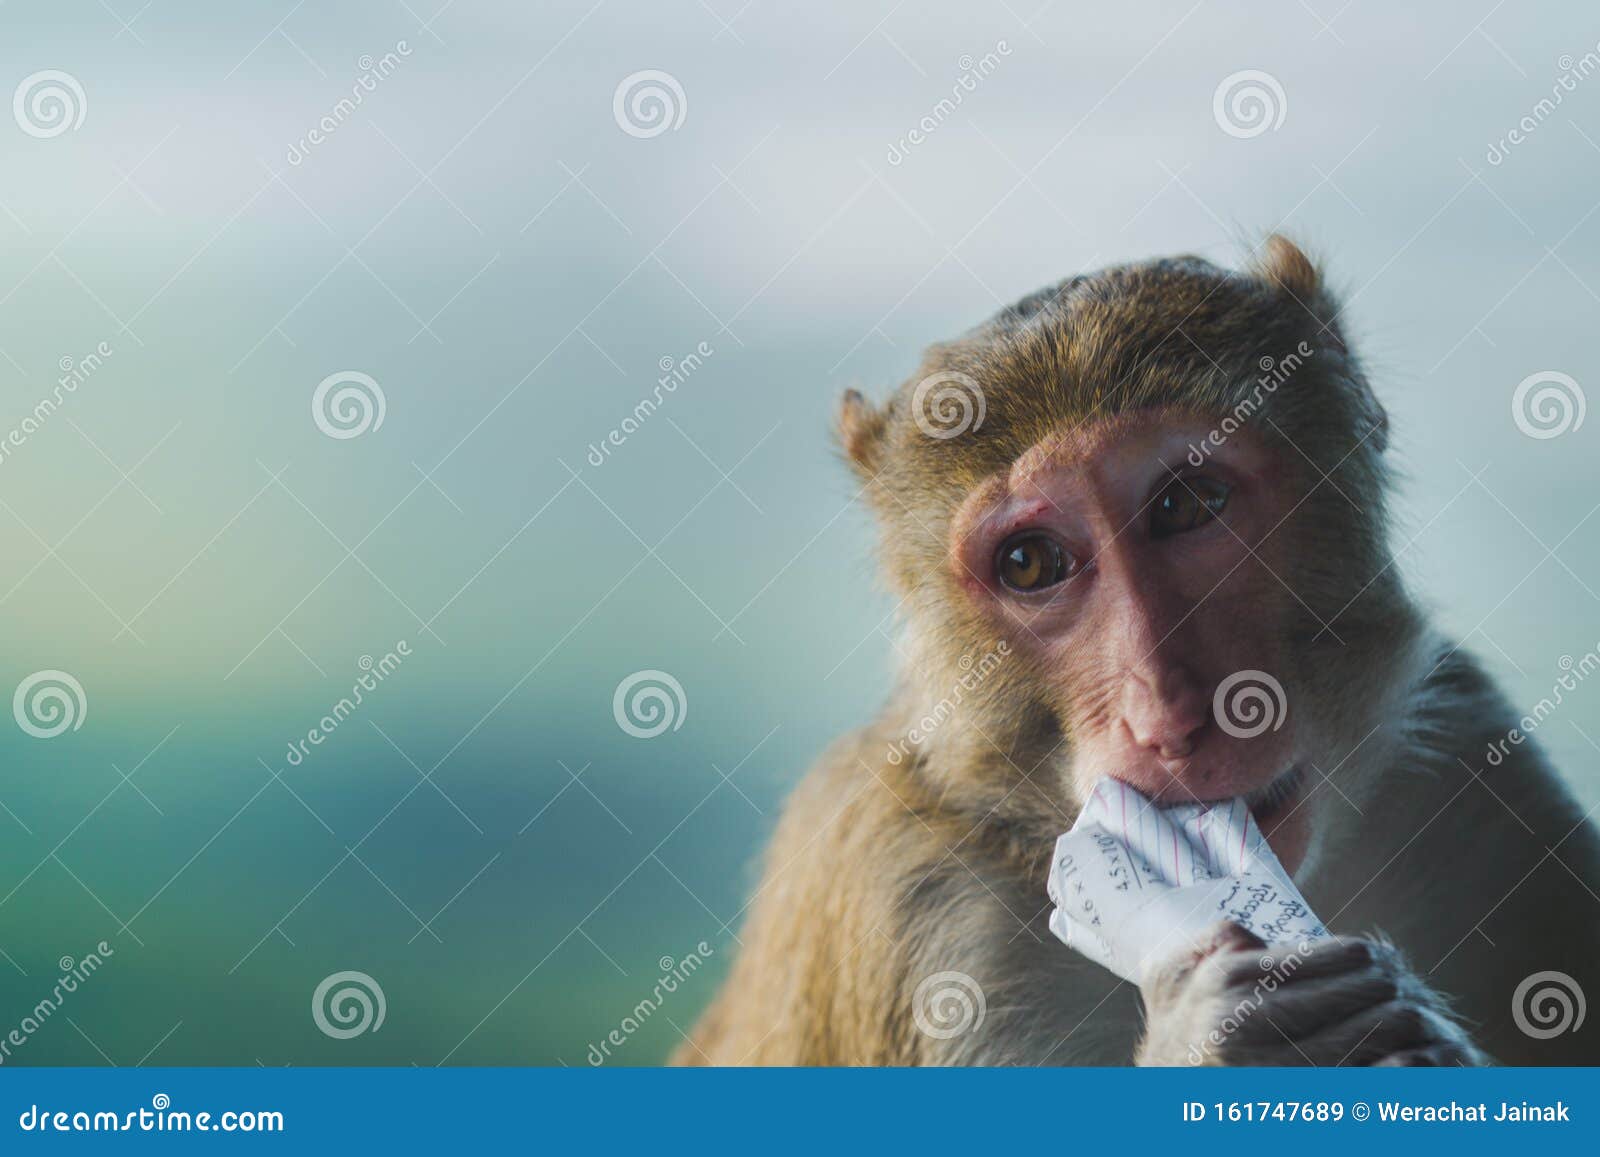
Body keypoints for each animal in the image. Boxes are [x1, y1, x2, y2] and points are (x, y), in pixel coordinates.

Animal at [672, 236, 1600, 1066]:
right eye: (1030, 562)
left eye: (1186, 502)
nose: (1167, 715)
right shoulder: (927, 919)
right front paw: (1236, 1034)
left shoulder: (1471, 749)